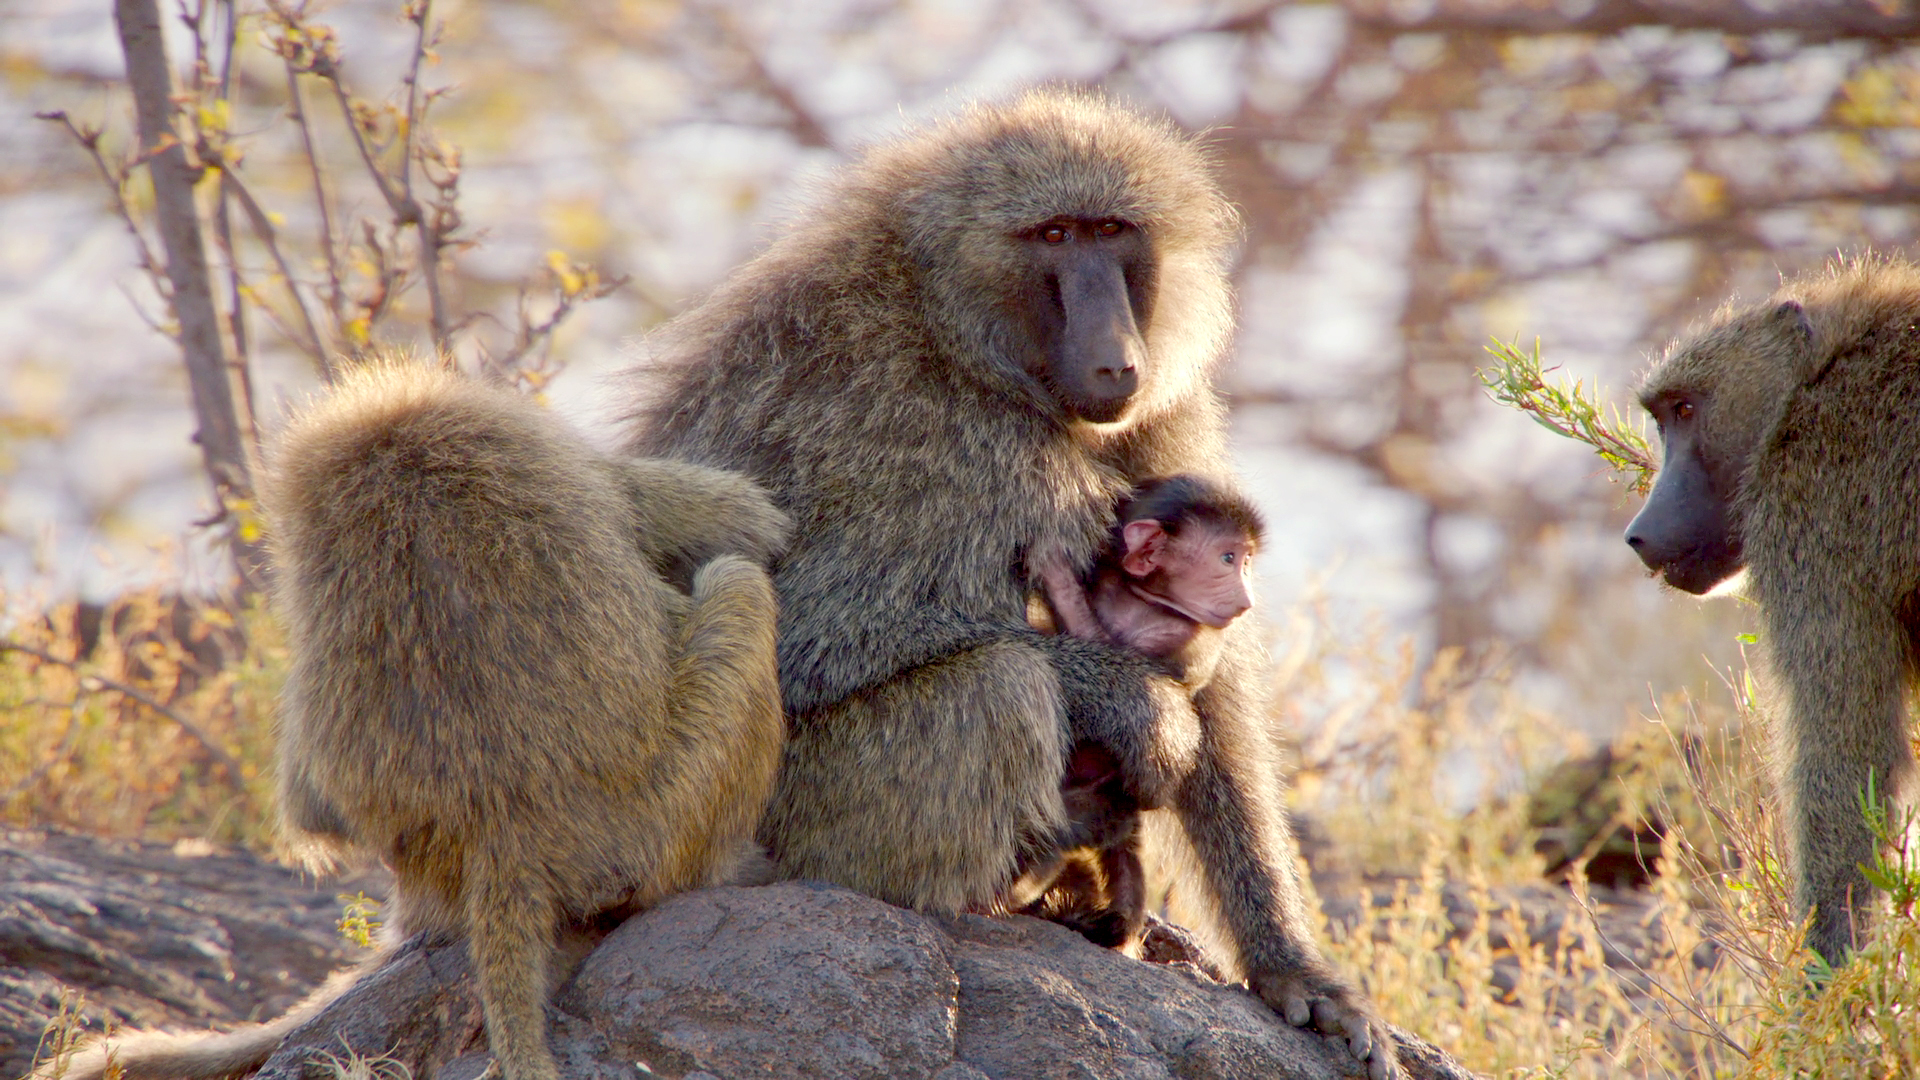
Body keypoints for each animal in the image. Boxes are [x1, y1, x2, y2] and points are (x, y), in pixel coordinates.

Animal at [40, 360, 789, 1080]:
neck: (394, 445)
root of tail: (506, 833)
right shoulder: (554, 456)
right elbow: (737, 524)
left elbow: (312, 812)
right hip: (665, 818)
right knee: (739, 584)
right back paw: (734, 866)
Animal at [1017, 474, 1266, 954]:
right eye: (1229, 558)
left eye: (1243, 560)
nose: (1247, 598)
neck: (1143, 601)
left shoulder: (1186, 635)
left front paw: (1057, 574)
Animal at [1625, 252, 1920, 966]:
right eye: (1664, 418)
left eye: (1685, 409)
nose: (1638, 534)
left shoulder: (1809, 507)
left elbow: (1846, 754)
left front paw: (1826, 975)